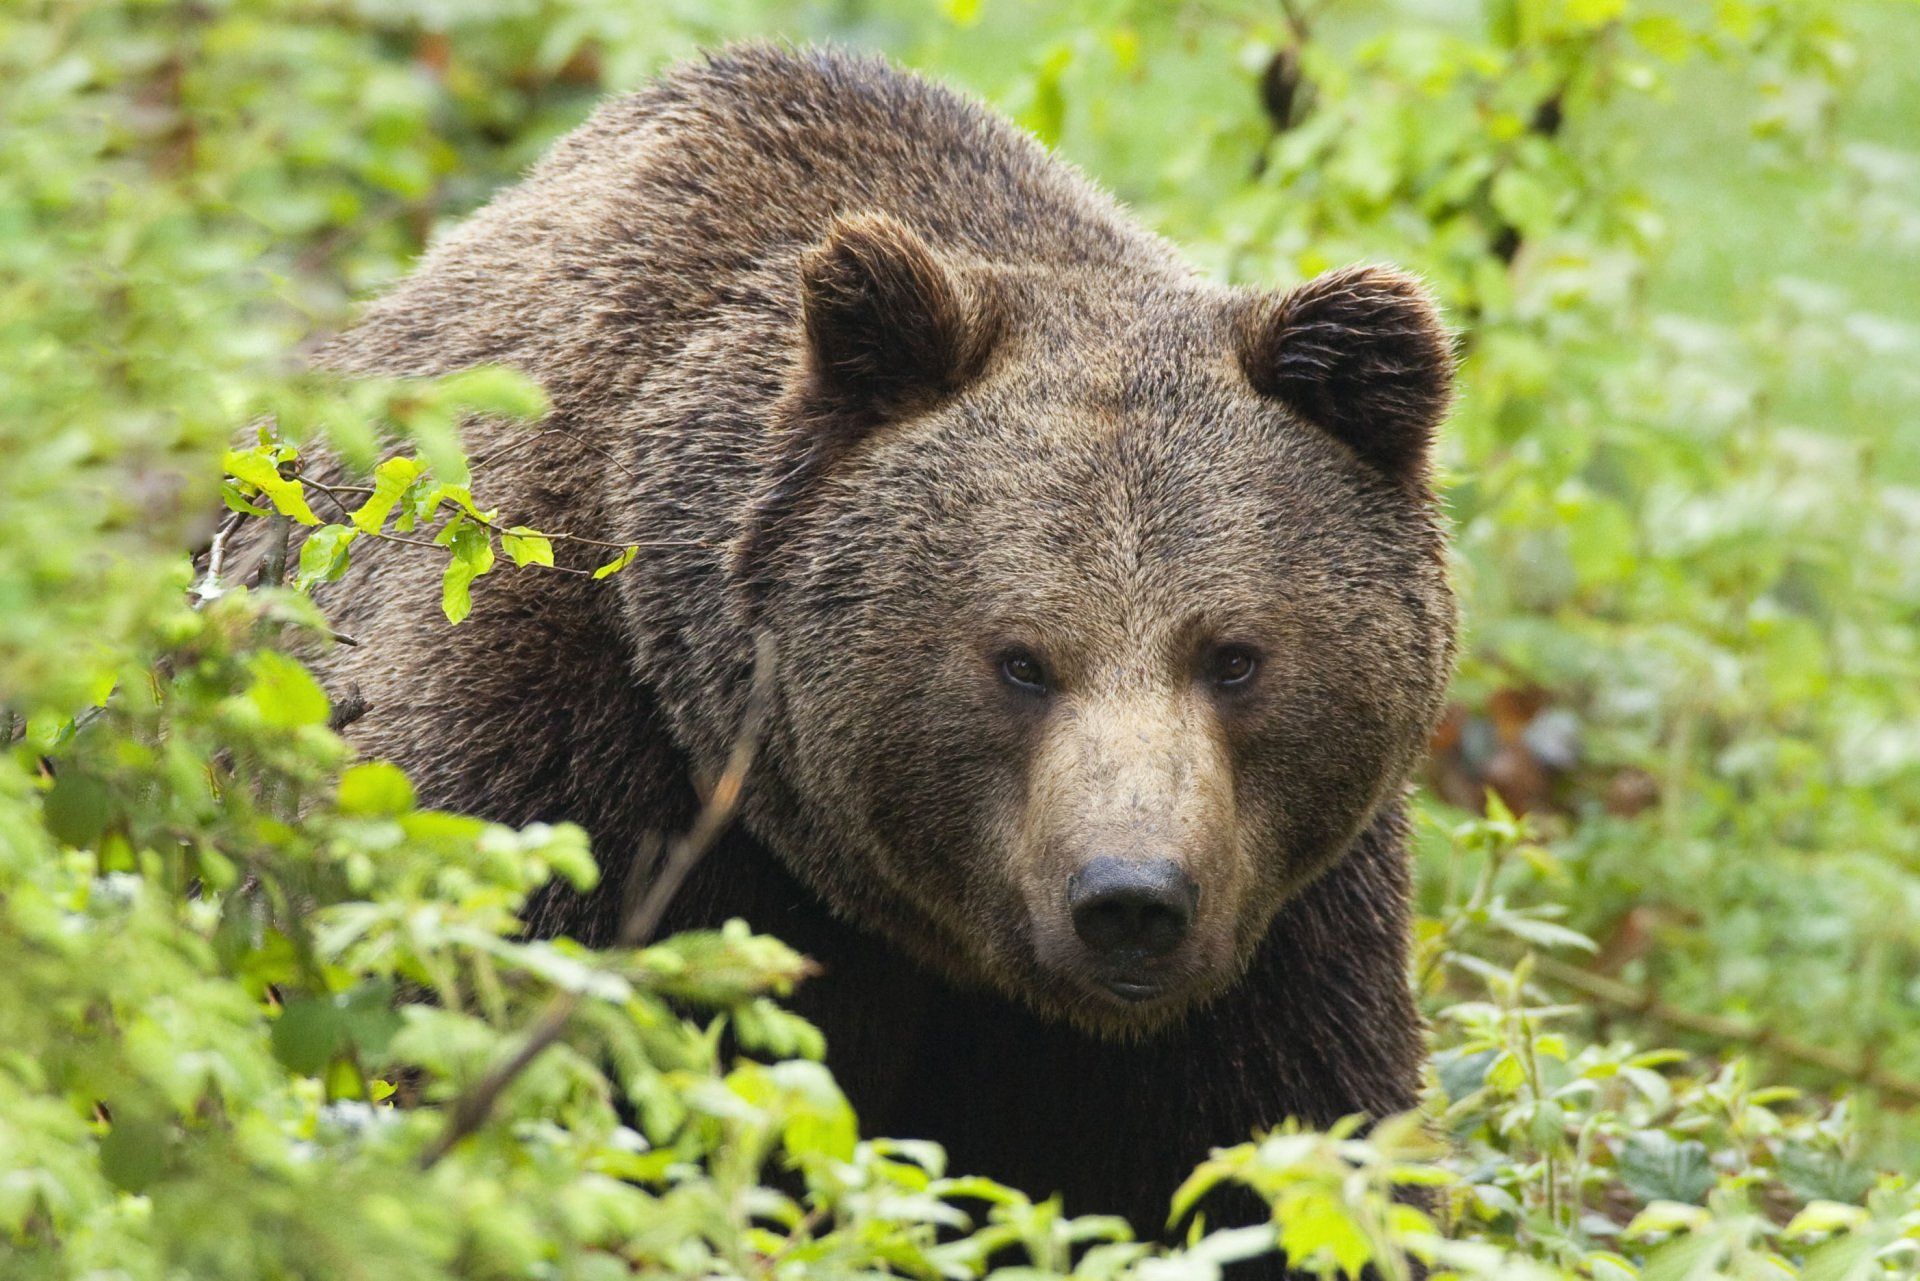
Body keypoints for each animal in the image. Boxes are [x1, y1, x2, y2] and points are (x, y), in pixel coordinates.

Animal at [292, 42, 1457, 1264]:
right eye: (1020, 658)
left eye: (1233, 655)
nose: (1132, 898)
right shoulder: (557, 742)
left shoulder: (1282, 931)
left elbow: (1271, 1159)